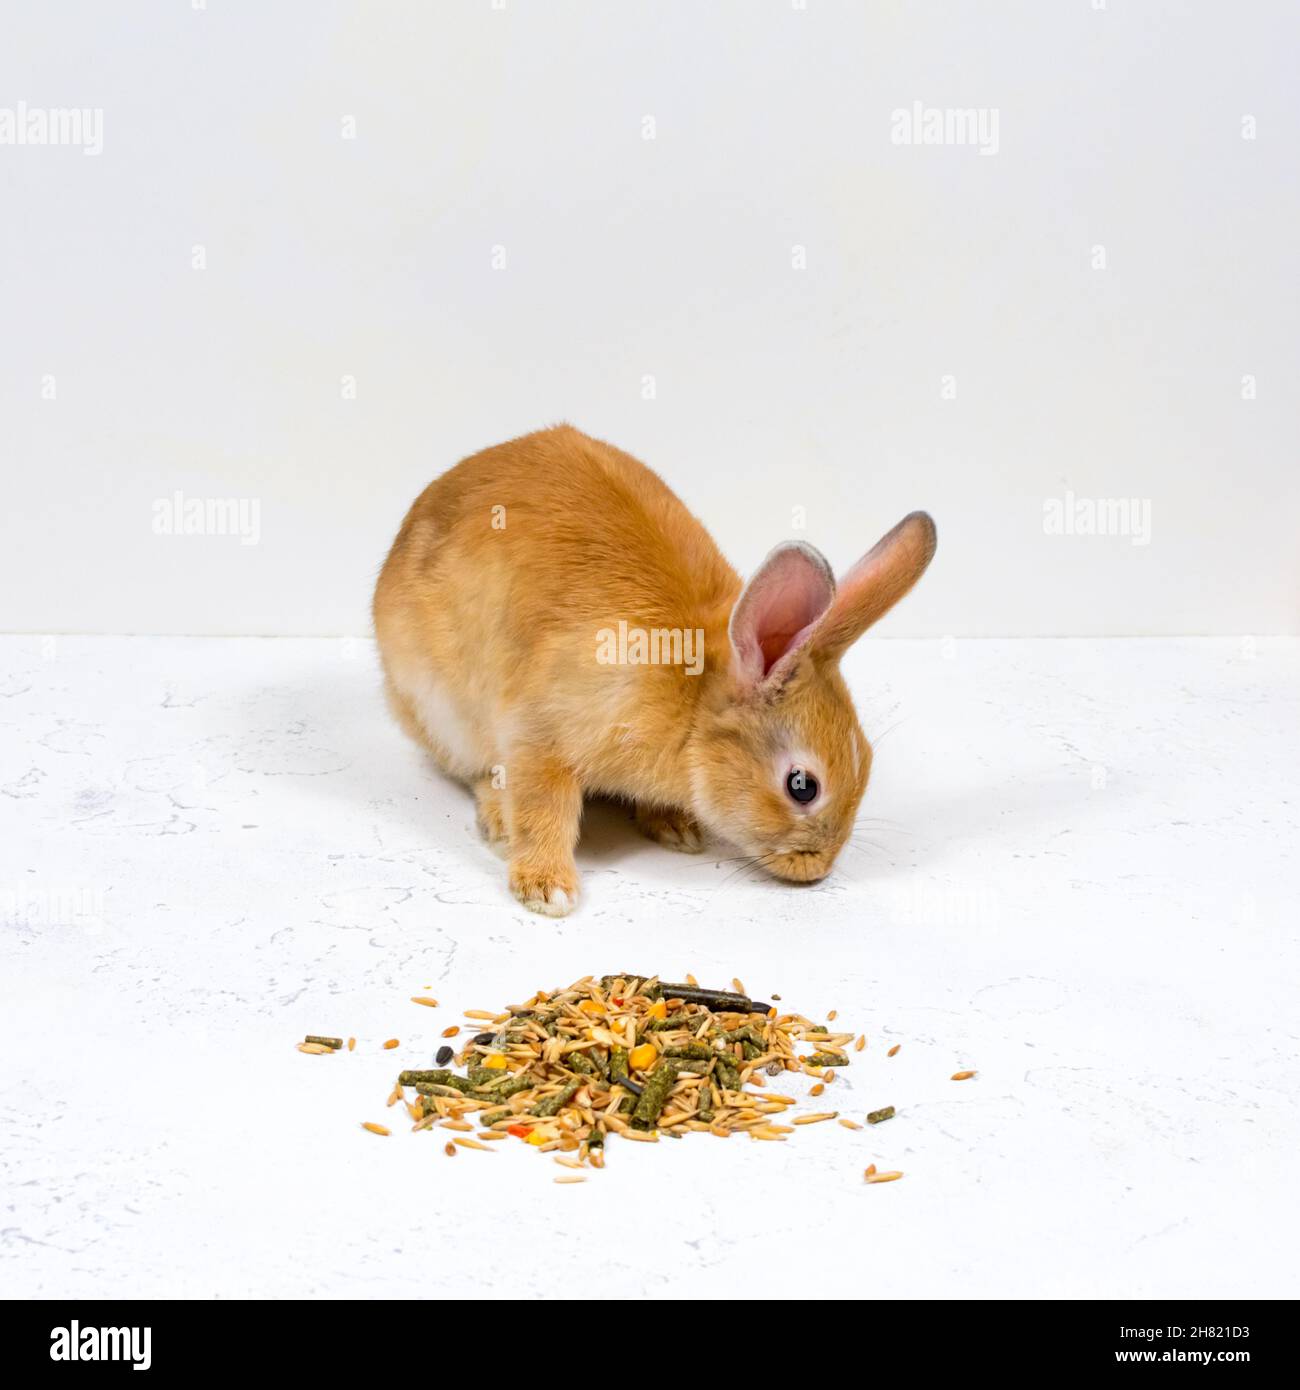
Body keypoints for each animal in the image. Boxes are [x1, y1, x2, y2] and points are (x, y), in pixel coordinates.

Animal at [373, 424, 936, 916]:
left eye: (867, 758)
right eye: (803, 786)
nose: (817, 869)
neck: (692, 705)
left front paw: (676, 826)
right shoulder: (541, 733)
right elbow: (543, 808)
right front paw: (547, 889)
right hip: (443, 712)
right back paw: (499, 821)